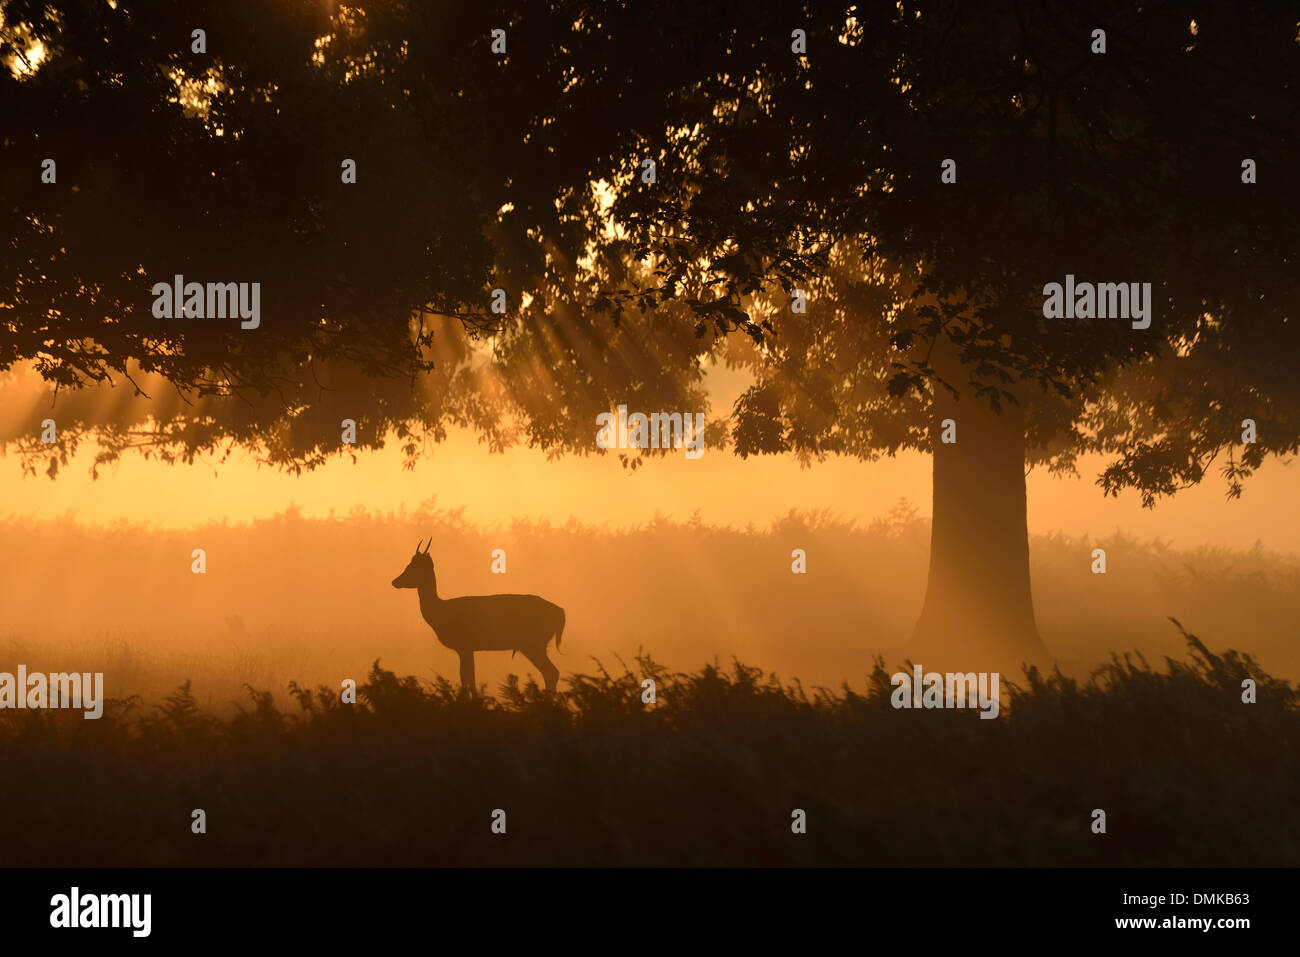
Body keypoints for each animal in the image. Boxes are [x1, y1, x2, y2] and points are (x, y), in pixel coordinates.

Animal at [391, 539, 566, 696]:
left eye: (413, 567)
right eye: (409, 565)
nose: (395, 581)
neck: (441, 613)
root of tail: (561, 613)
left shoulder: (464, 645)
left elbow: (466, 679)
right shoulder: (468, 648)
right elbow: (470, 678)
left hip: (533, 643)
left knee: (552, 672)